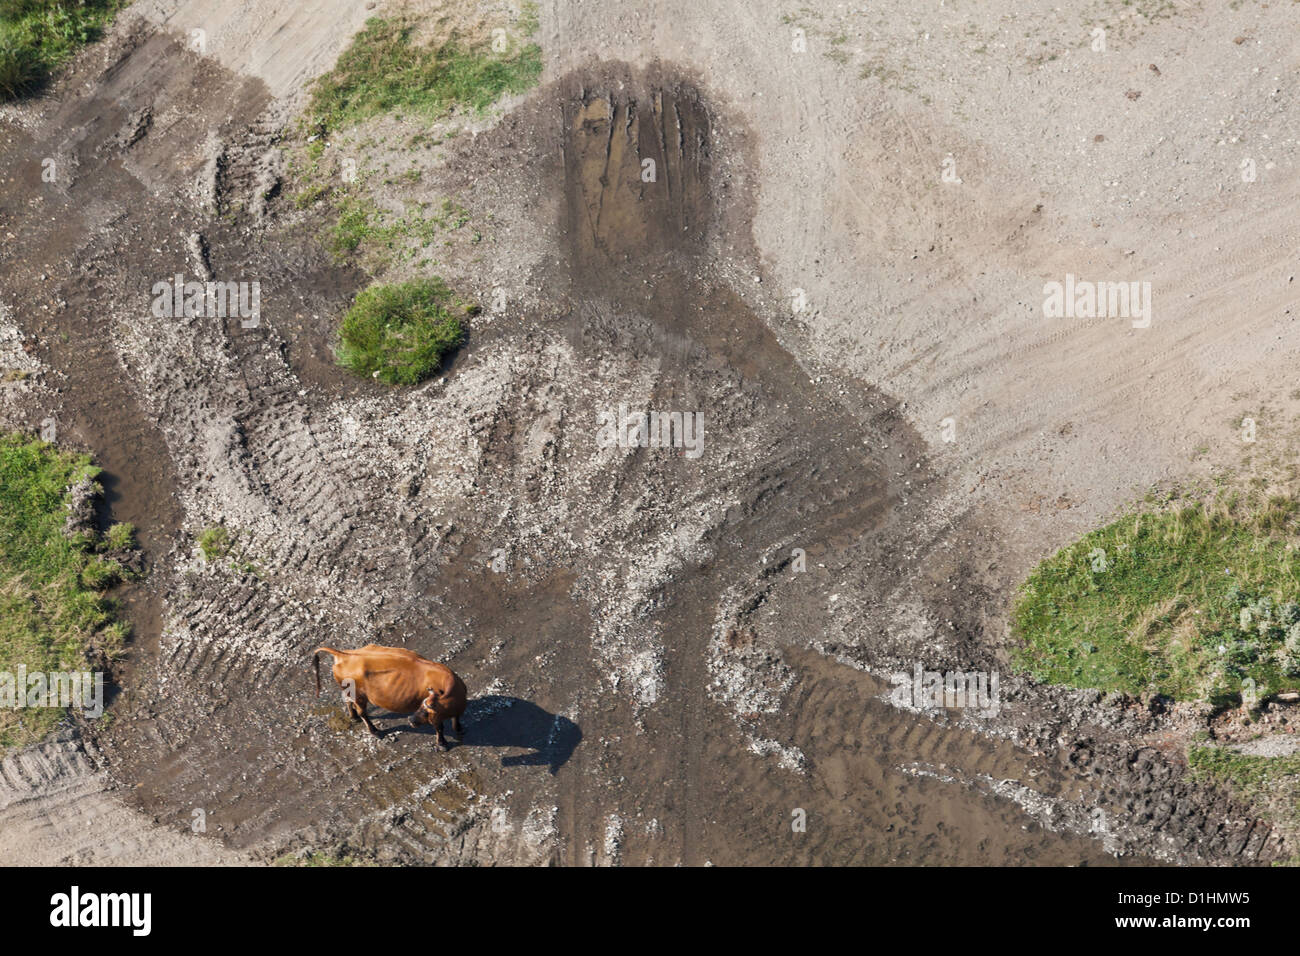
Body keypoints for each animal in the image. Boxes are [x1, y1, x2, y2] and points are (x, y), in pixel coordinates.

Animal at [313, 644, 467, 750]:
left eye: (425, 711)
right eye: (420, 708)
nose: (410, 720)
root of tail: (344, 655)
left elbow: (456, 718)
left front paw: (458, 728)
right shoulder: (436, 717)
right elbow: (439, 728)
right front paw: (442, 744)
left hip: (349, 691)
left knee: (348, 702)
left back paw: (353, 717)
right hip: (359, 696)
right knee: (363, 712)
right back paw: (374, 731)